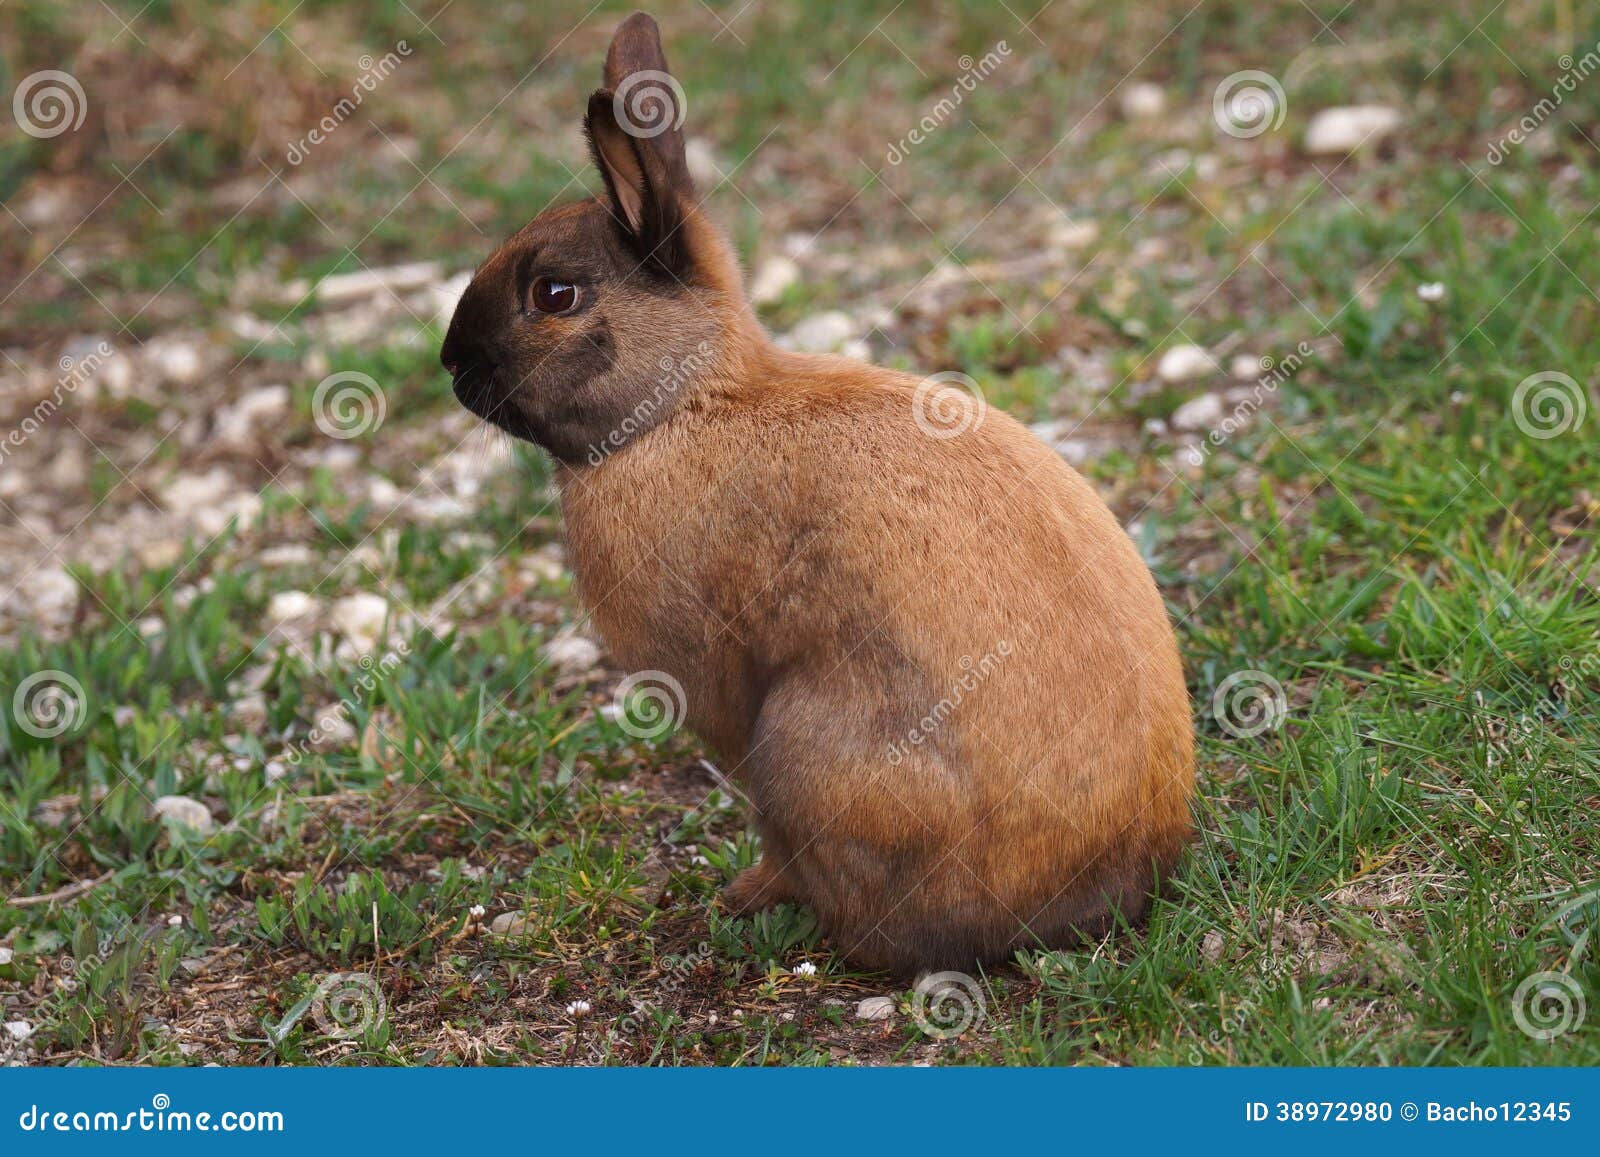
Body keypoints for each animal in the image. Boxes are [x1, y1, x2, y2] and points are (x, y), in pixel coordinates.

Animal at [440, 11, 1195, 974]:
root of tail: (1109, 878)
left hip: (805, 746)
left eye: (554, 293)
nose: (451, 364)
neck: (686, 404)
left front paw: (738, 894)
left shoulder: (719, 688)